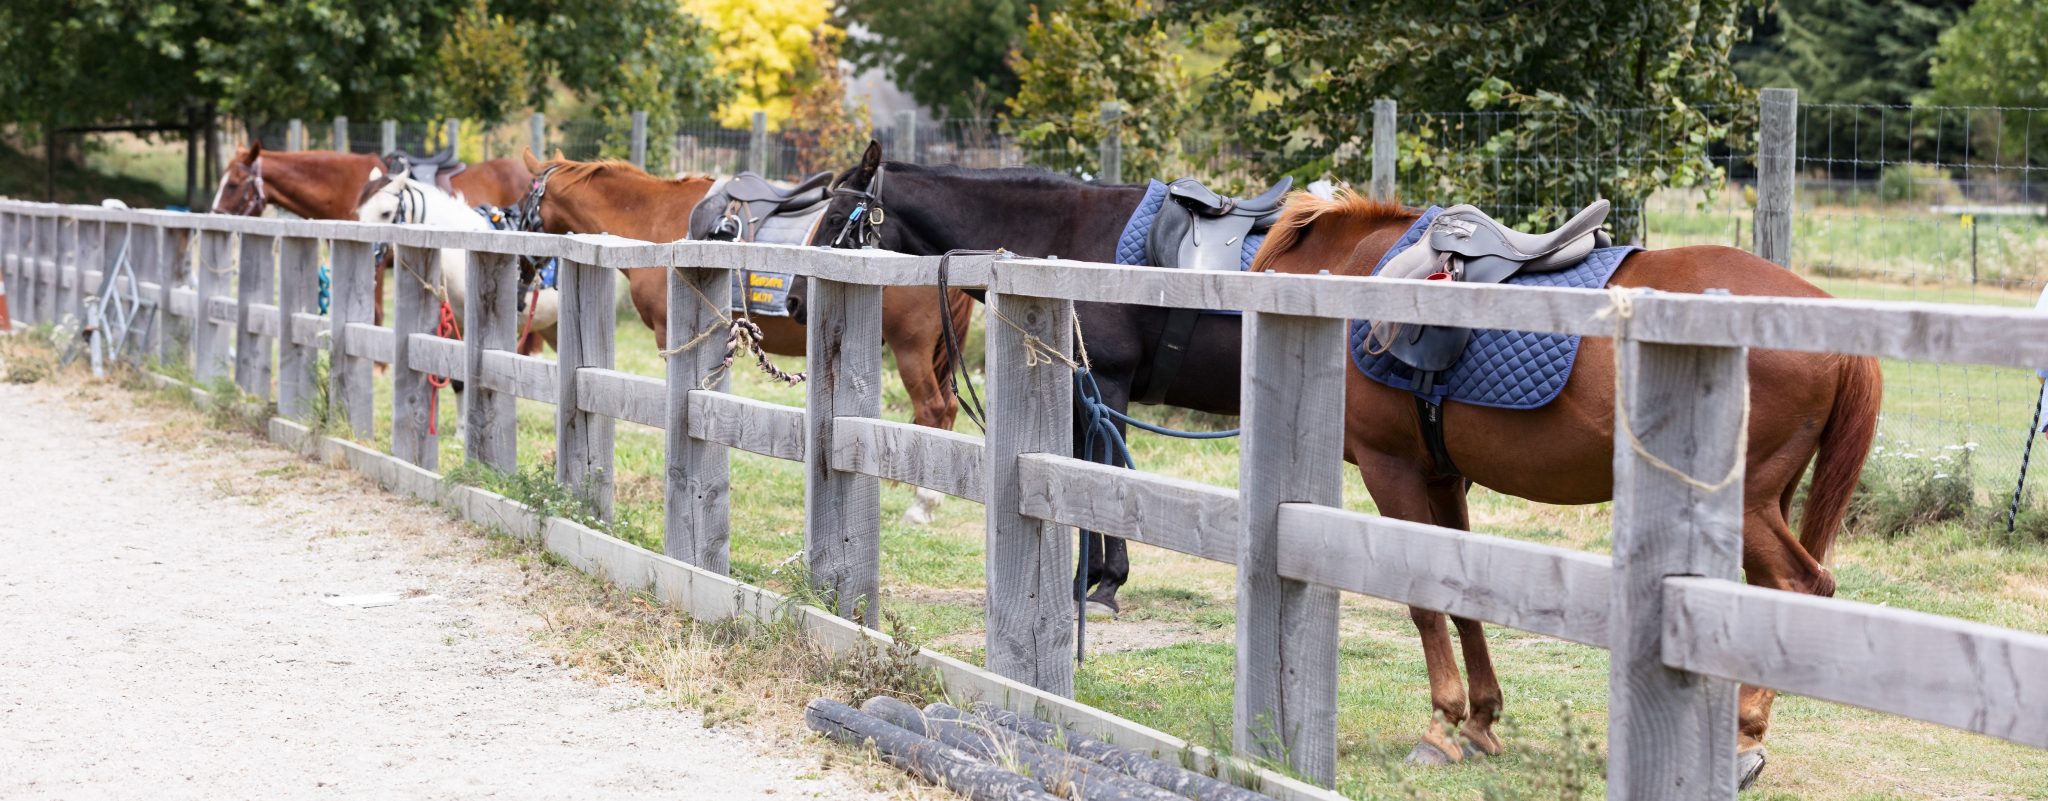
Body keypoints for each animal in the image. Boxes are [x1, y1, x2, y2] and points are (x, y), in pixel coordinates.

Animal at [515, 150, 977, 524]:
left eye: (522, 207)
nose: (521, 268)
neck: (655, 216)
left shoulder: (671, 332)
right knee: (948, 409)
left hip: (910, 348)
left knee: (934, 410)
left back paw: (922, 504)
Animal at [814, 142, 1246, 610]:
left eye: (836, 218)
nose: (800, 292)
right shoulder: (1080, 393)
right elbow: (1079, 470)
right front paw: (1085, 580)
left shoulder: (1107, 386)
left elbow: (1107, 470)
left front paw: (1107, 583)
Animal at [1249, 190, 1882, 787]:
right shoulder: (1442, 478)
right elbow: (1461, 594)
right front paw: (1478, 721)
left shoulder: (1392, 468)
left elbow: (1424, 599)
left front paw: (1440, 728)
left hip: (1744, 506)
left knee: (1800, 584)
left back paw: (1744, 740)